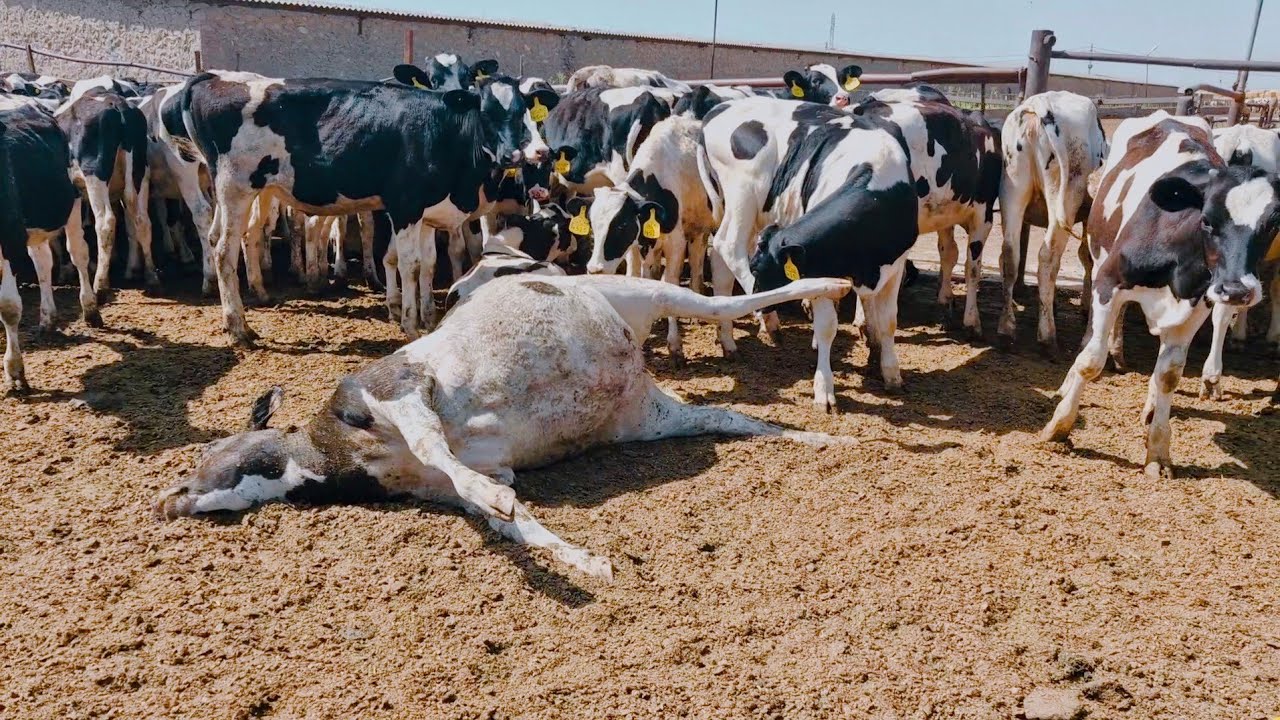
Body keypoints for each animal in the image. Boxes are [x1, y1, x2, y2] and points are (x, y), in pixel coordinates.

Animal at [153, 273, 852, 579]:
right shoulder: (446, 479)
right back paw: (822, 436)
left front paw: (503, 504)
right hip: (649, 419)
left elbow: (445, 452)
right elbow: (503, 514)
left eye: (207, 452)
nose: (165, 500)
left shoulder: (397, 389)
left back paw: (833, 286)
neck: (340, 453)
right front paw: (583, 560)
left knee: (733, 301)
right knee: (727, 415)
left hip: (651, 291)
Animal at [180, 65, 559, 342]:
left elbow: (428, 263)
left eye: (523, 111)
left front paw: (427, 317)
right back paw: (238, 326)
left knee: (224, 238)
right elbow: (410, 265)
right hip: (235, 186)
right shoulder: (405, 205)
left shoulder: (426, 210)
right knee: (224, 251)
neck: (442, 133)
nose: (523, 154)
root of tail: (212, 77)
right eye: (486, 111)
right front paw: (409, 324)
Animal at [585, 115, 715, 361]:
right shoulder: (634, 247)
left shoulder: (676, 244)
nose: (595, 269)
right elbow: (634, 276)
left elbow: (671, 282)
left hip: (699, 229)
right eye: (593, 227)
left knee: (696, 263)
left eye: (621, 225)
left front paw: (674, 343)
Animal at [700, 97, 919, 409]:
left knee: (720, 260)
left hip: (732, 203)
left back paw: (729, 339)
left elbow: (889, 321)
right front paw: (824, 389)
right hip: (744, 193)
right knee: (729, 244)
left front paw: (891, 372)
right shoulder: (822, 271)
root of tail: (722, 106)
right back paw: (769, 321)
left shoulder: (895, 266)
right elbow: (827, 326)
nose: (761, 307)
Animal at [996, 91, 1108, 353]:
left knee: (1010, 253)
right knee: (1048, 258)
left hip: (1012, 190)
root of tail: (1038, 104)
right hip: (1064, 197)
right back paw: (1047, 336)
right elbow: (1087, 257)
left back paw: (1006, 328)